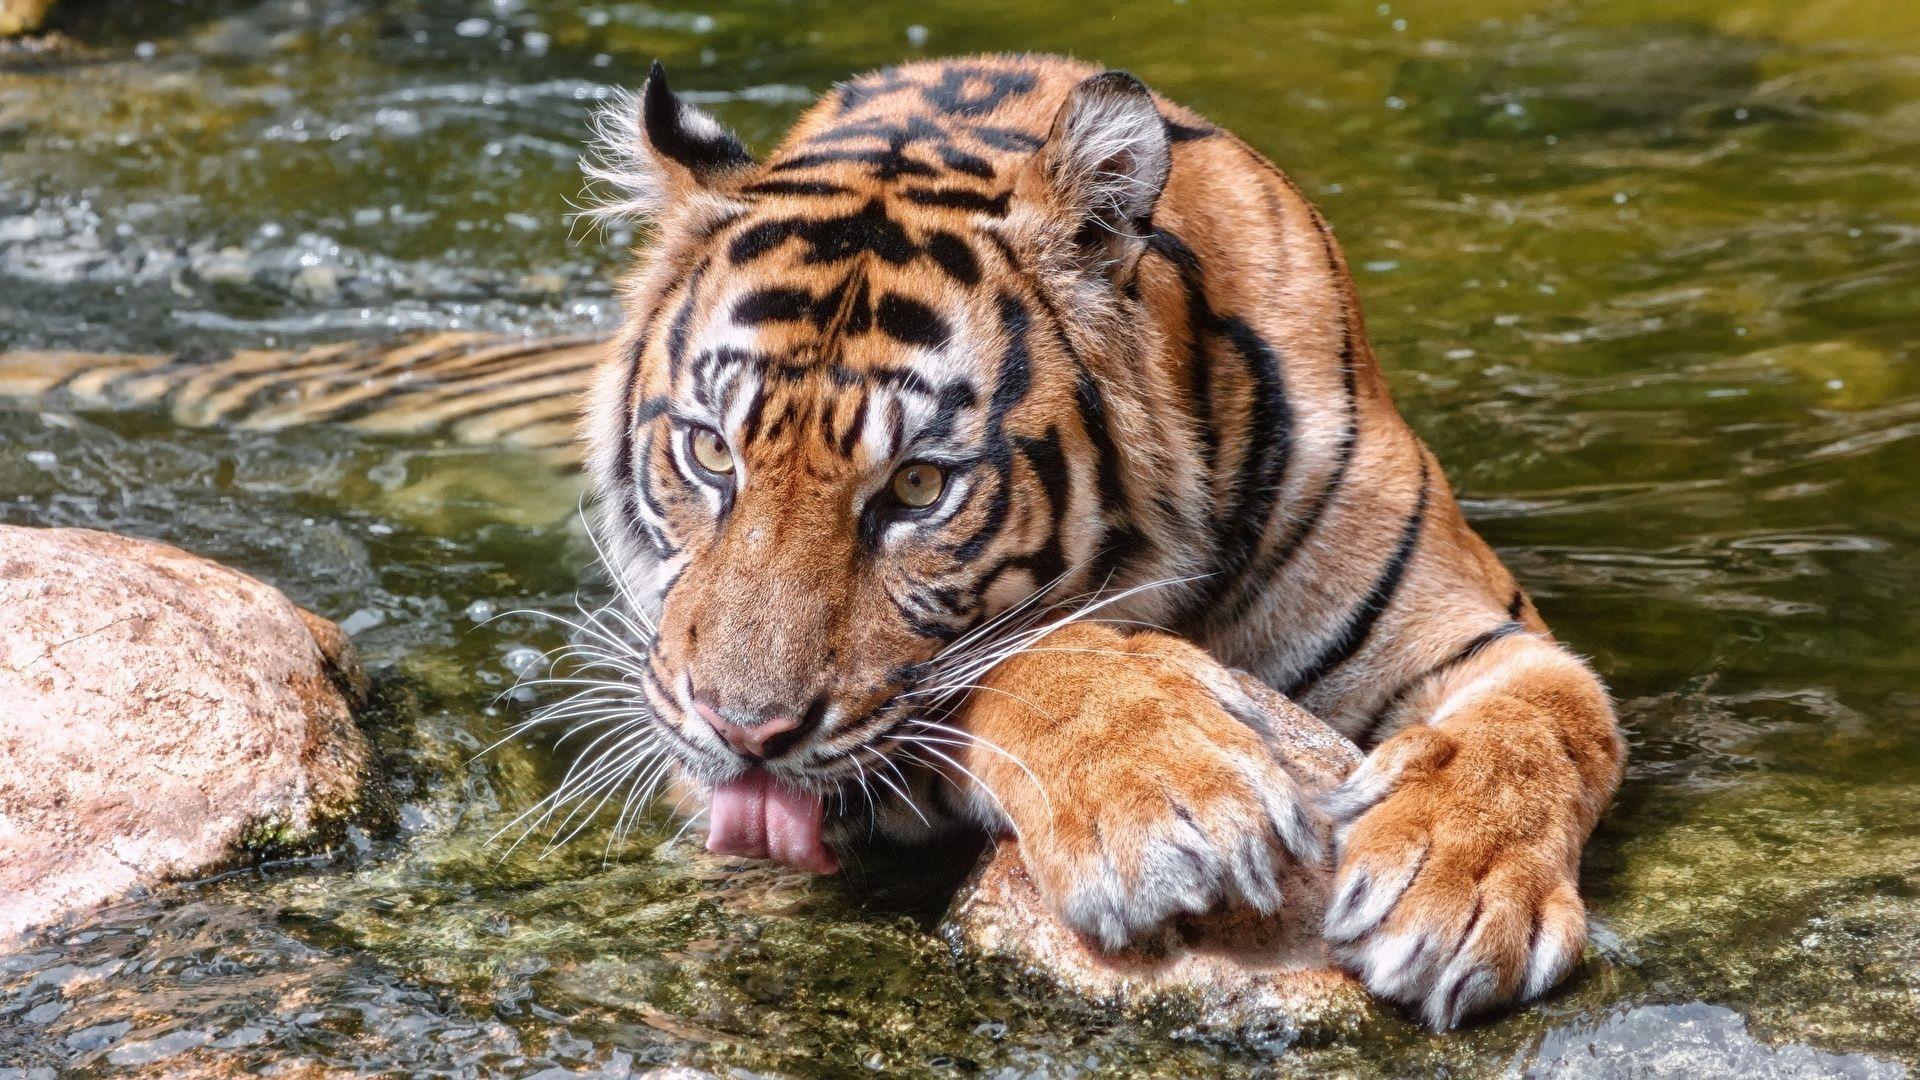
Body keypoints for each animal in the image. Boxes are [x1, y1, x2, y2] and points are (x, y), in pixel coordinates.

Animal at [0, 54, 1625, 1031]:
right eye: (711, 455)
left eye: (917, 490)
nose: (744, 731)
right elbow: (1007, 671)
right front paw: (1174, 800)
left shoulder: (1484, 636)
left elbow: (1550, 727)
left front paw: (1455, 894)